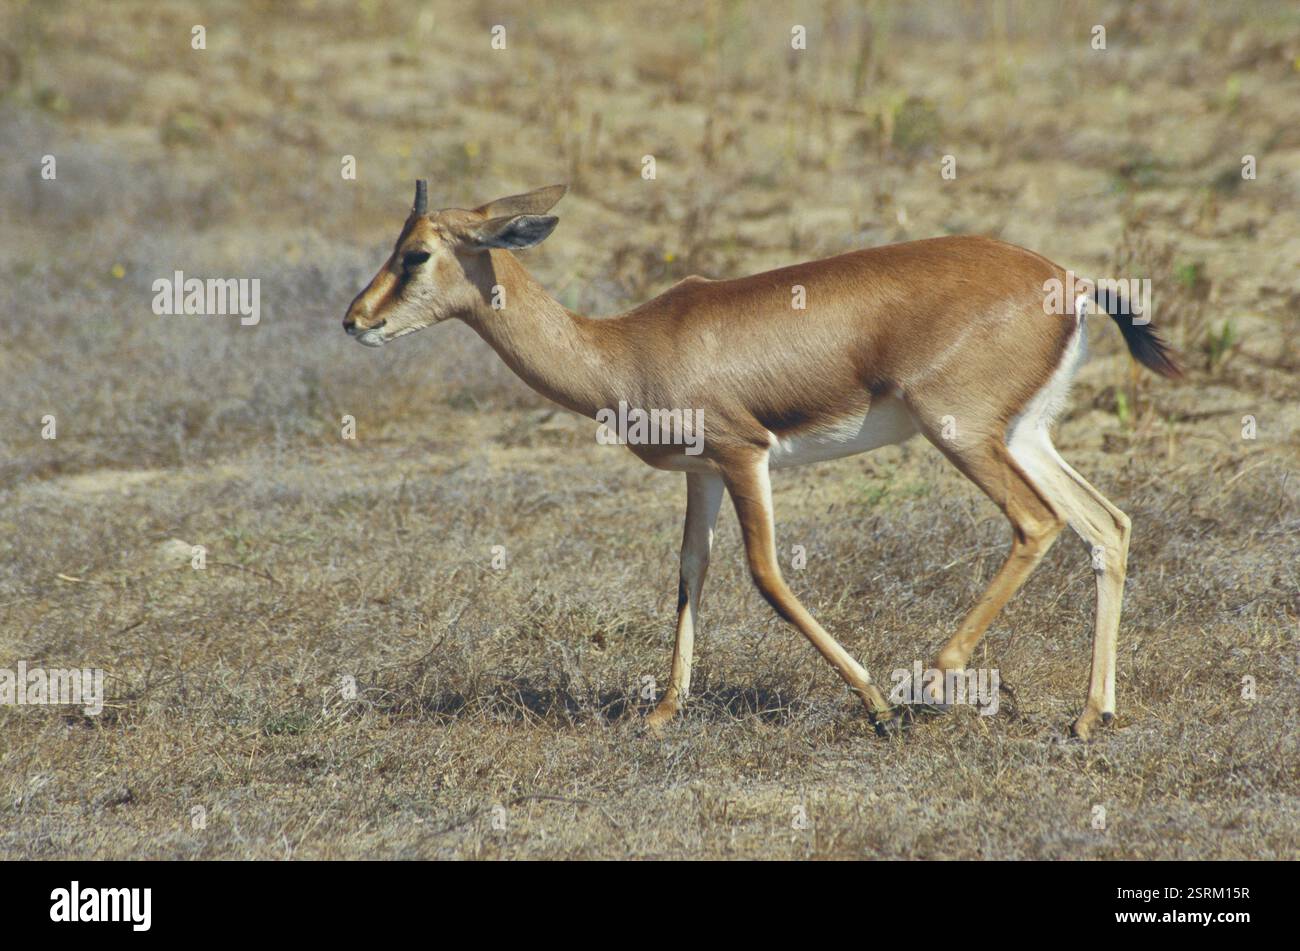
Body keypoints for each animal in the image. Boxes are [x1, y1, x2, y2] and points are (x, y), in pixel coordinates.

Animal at [343, 181, 1181, 740]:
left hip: (963, 434)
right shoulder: (703, 473)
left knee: (1036, 524)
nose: (355, 320)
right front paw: (661, 711)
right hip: (1025, 435)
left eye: (415, 253)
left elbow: (767, 575)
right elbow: (690, 572)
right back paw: (1090, 715)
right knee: (1107, 524)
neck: (623, 348)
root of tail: (1070, 282)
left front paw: (875, 703)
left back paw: (927, 680)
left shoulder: (744, 456)